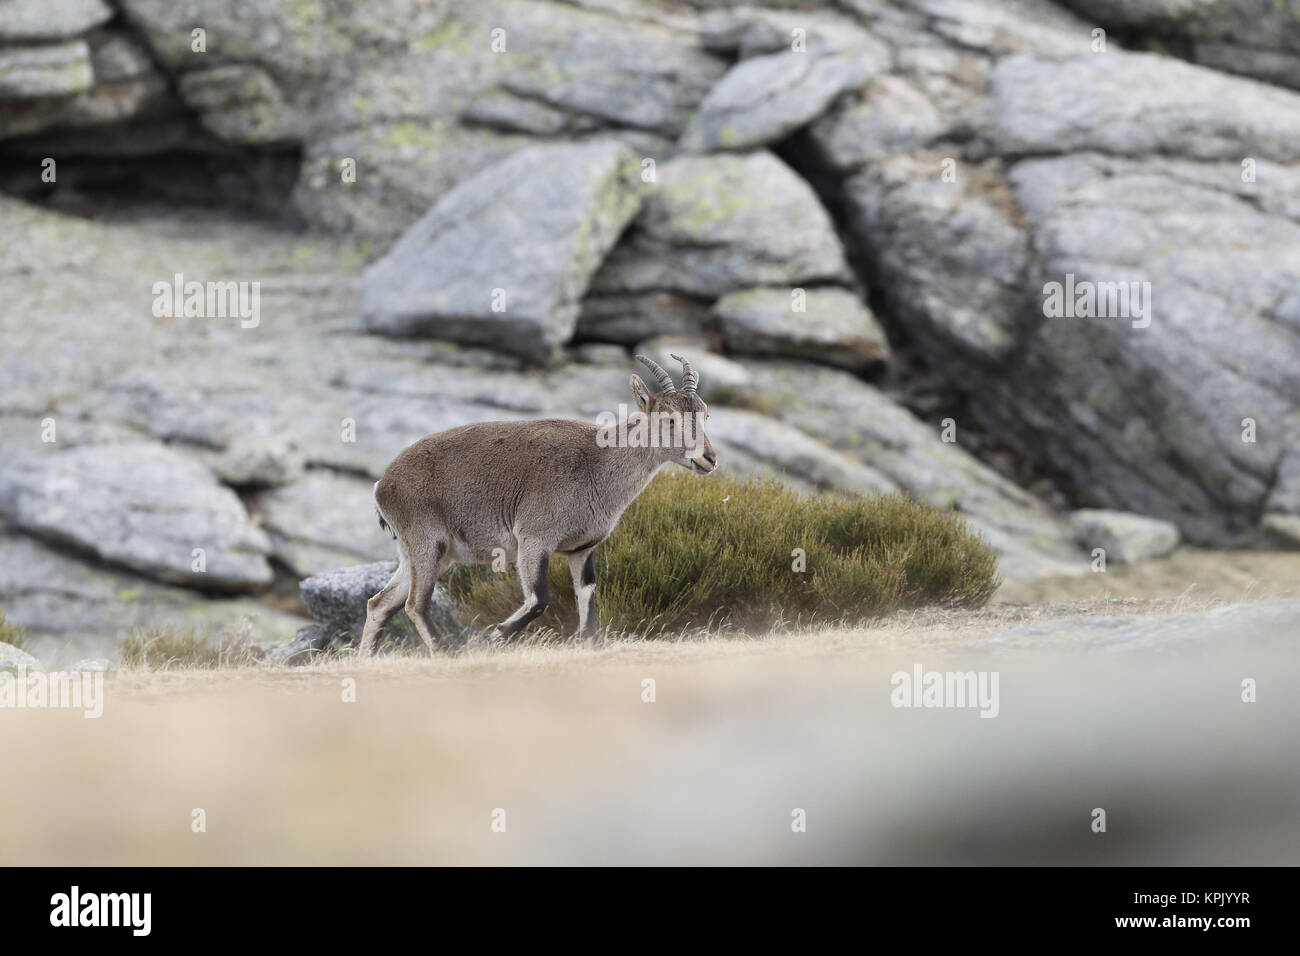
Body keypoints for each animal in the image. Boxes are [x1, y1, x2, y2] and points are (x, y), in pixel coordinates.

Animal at [360, 353, 717, 654]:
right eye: (669, 419)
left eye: (705, 414)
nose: (709, 458)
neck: (596, 464)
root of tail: (383, 484)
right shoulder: (534, 538)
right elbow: (539, 598)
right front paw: (495, 635)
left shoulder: (582, 549)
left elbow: (588, 601)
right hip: (427, 542)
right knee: (415, 605)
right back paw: (446, 652)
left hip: (425, 553)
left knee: (380, 603)